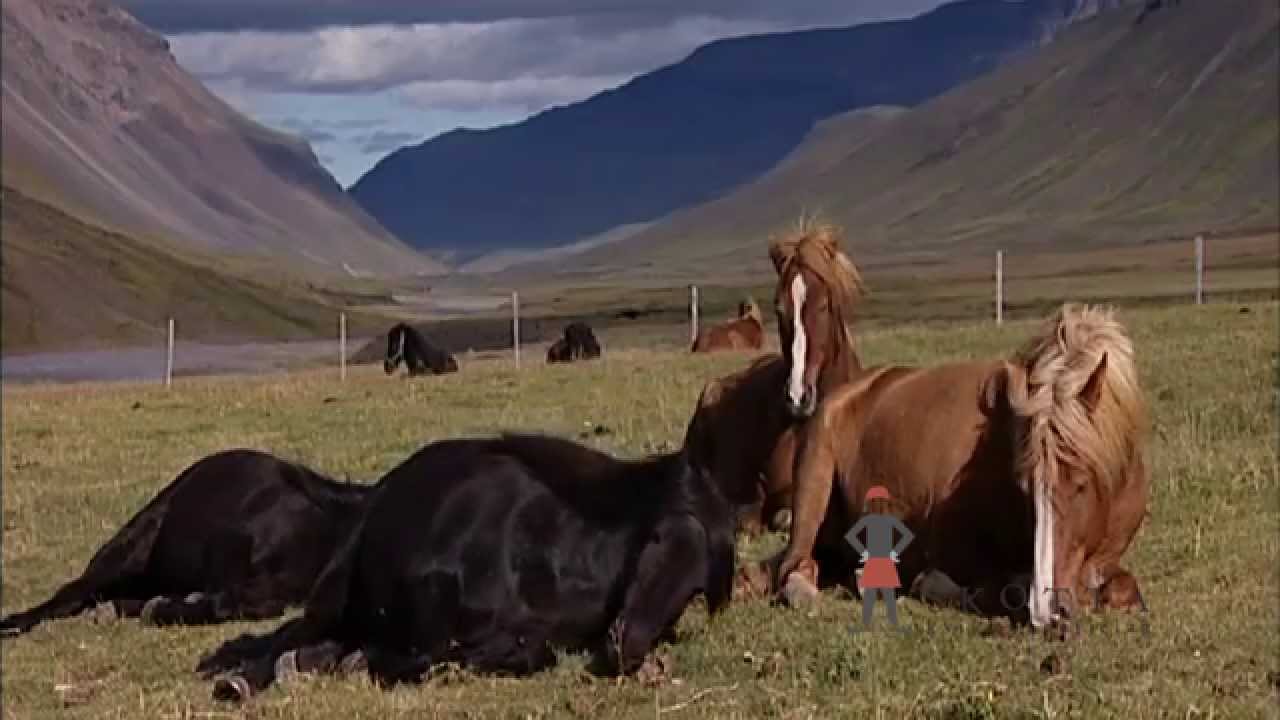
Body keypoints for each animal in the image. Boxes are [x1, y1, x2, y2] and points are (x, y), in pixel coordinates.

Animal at [0, 450, 369, 636]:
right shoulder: (230, 543)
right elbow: (222, 600)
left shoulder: (275, 591)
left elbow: (247, 604)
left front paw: (165, 608)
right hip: (131, 550)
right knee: (74, 591)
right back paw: (16, 623)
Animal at [197, 434, 736, 703]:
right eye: (660, 538)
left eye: (696, 589)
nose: (628, 648)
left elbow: (517, 651)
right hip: (333, 595)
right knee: (291, 633)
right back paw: (237, 672)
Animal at [766, 304, 1150, 629]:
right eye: (1025, 489)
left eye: (1081, 484)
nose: (1047, 610)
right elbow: (992, 588)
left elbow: (1124, 589)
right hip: (813, 483)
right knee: (795, 566)